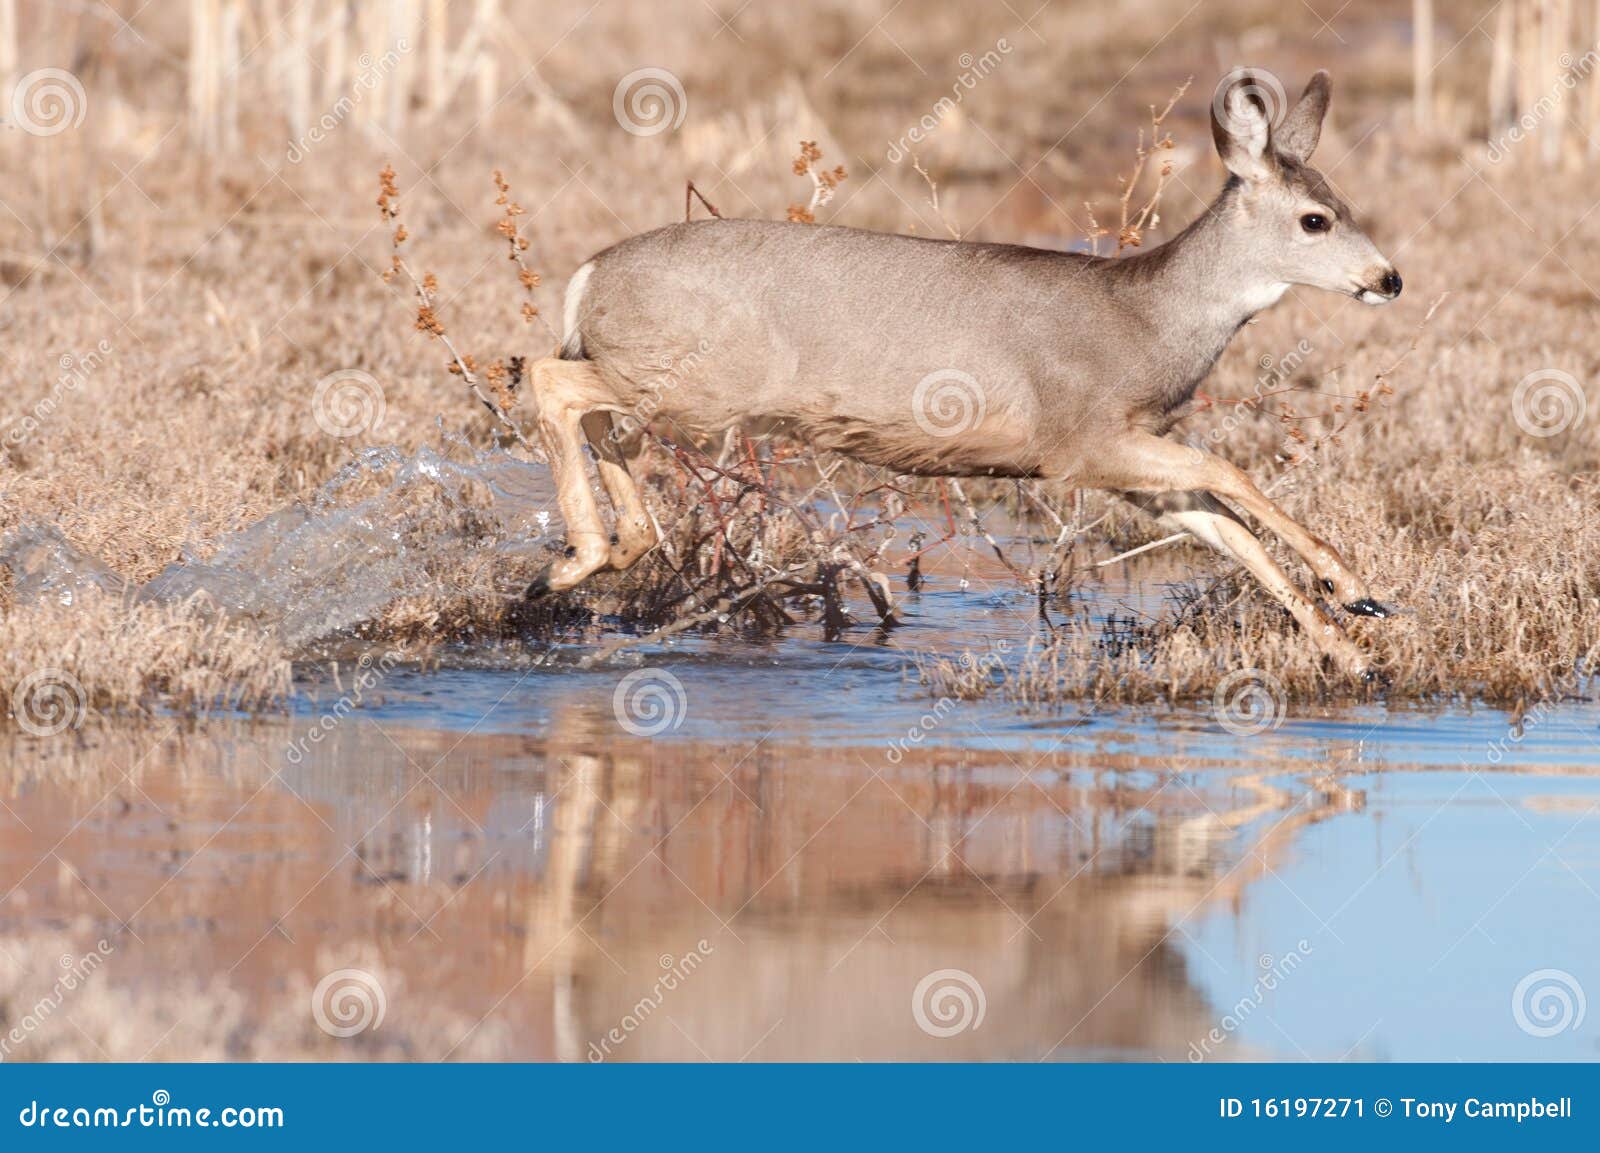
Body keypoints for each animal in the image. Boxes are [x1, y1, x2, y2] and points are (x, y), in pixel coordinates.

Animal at [523, 70, 1402, 678]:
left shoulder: (1129, 467)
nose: (1389, 278)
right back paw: (577, 558)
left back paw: (612, 549)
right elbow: (1233, 475)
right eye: (1315, 219)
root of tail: (589, 277)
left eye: (1344, 204)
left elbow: (1231, 532)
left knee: (588, 406)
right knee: (548, 377)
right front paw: (1356, 587)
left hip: (662, 377)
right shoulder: (1079, 440)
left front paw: (1355, 652)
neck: (1146, 318)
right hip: (701, 384)